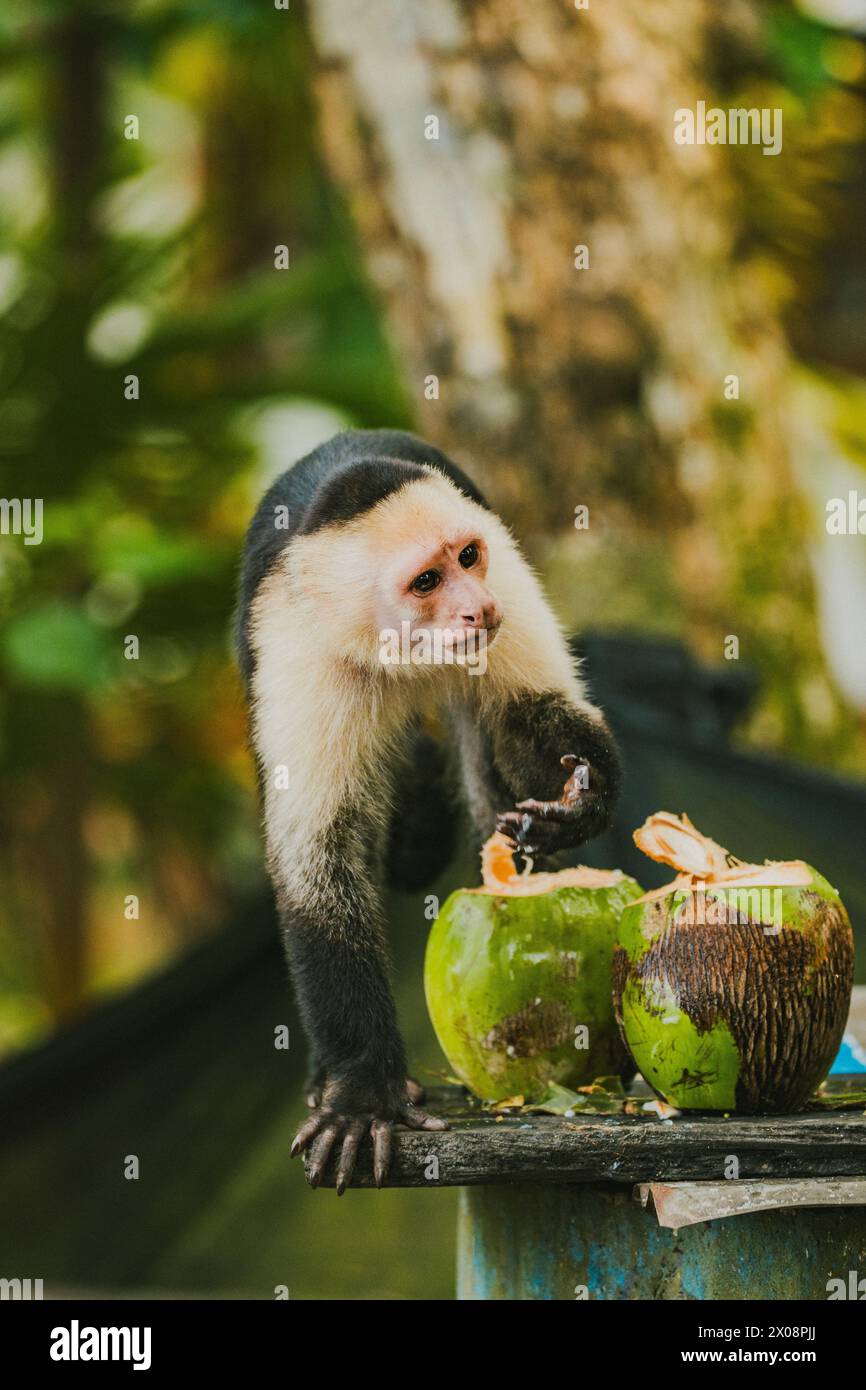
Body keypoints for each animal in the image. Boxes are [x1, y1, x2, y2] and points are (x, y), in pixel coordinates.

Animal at [236, 429, 621, 1193]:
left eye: (466, 559)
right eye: (425, 583)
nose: (477, 608)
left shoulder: (506, 576)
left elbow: (530, 714)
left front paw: (581, 798)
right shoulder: (298, 647)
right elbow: (319, 861)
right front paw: (360, 1095)